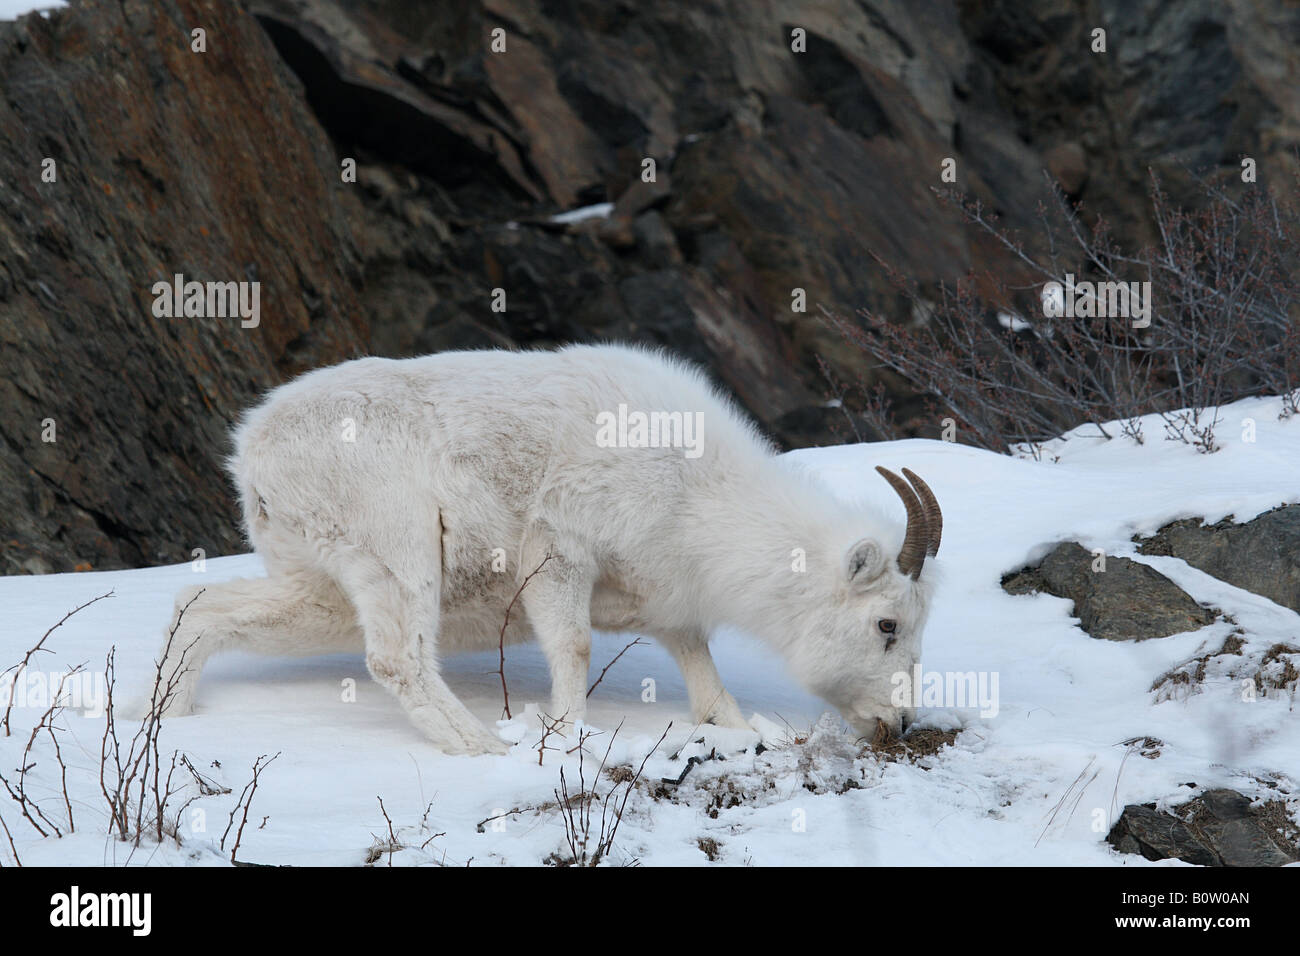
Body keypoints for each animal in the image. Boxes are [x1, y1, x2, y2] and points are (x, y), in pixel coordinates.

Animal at [129, 344, 943, 754]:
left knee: (202, 606)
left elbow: (706, 681)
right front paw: (567, 734)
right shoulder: (560, 552)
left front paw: (741, 732)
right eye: (887, 625)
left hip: (321, 591)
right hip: (399, 553)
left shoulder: (668, 608)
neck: (699, 493)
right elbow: (573, 649)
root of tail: (253, 451)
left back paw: (163, 722)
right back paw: (487, 749)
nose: (898, 726)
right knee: (396, 660)